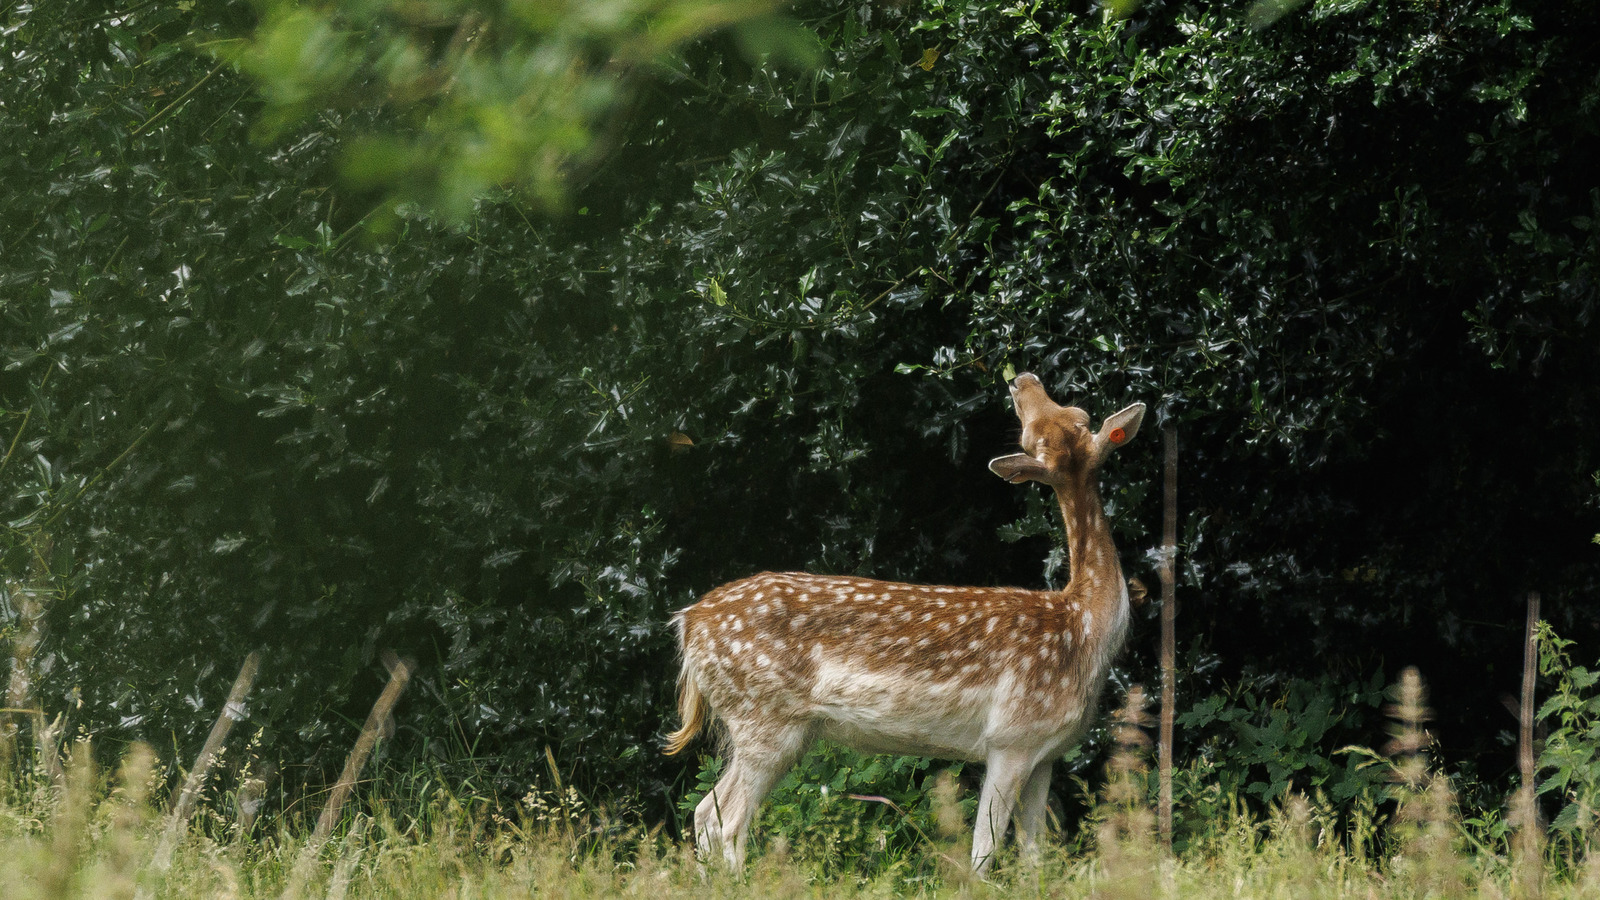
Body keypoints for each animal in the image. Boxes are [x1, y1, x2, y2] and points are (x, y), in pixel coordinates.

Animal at [664, 371, 1145, 874]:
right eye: (1031, 437)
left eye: (1078, 415)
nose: (1022, 379)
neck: (1084, 627)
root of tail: (688, 623)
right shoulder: (1009, 738)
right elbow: (984, 850)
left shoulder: (1045, 752)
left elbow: (1035, 856)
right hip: (764, 718)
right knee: (728, 822)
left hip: (763, 725)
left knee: (705, 811)